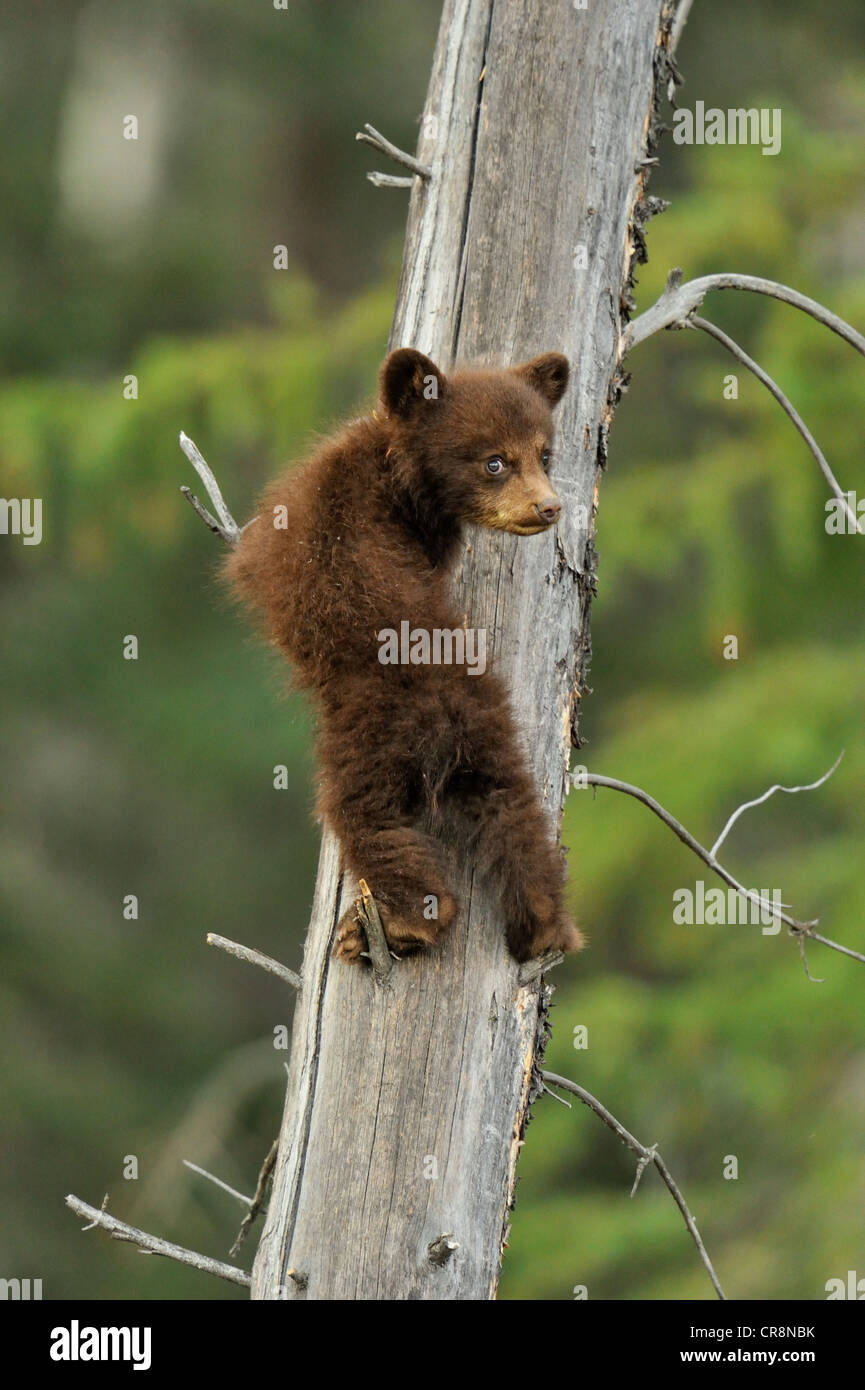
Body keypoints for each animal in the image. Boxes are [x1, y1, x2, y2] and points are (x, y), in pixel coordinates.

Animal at [224, 346, 583, 965]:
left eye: (544, 454)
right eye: (495, 462)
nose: (548, 507)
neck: (397, 472)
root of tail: (447, 708)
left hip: (367, 743)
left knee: (370, 822)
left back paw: (399, 923)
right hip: (496, 739)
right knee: (518, 816)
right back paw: (542, 926)